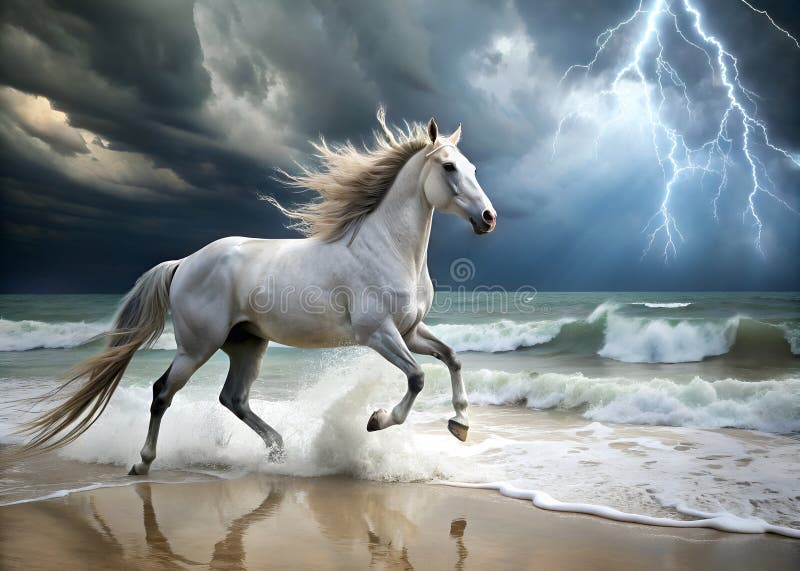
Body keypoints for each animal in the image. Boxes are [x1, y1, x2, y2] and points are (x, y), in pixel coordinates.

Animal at [17, 108, 497, 475]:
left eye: (474, 168)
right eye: (449, 167)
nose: (489, 218)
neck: (387, 248)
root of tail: (183, 263)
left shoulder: (410, 330)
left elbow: (452, 358)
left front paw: (460, 423)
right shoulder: (378, 333)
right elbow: (417, 377)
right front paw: (377, 421)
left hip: (247, 344)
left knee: (233, 398)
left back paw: (279, 450)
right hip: (197, 346)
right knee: (162, 393)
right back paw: (143, 462)